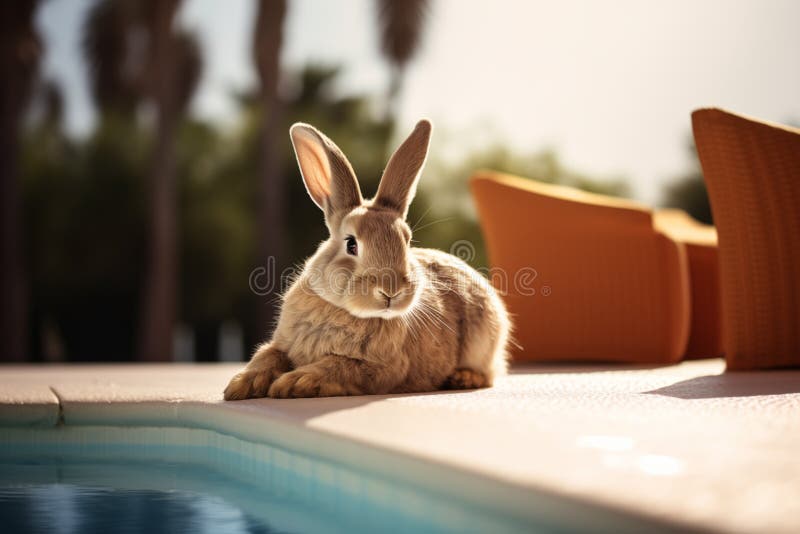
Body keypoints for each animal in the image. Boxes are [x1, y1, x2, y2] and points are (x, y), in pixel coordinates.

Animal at [224, 119, 511, 400]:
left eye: (407, 241)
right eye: (351, 244)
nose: (391, 291)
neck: (344, 310)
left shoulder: (379, 367)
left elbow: (337, 366)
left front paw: (293, 383)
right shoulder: (282, 345)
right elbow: (266, 356)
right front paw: (240, 386)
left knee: (488, 373)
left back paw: (463, 378)